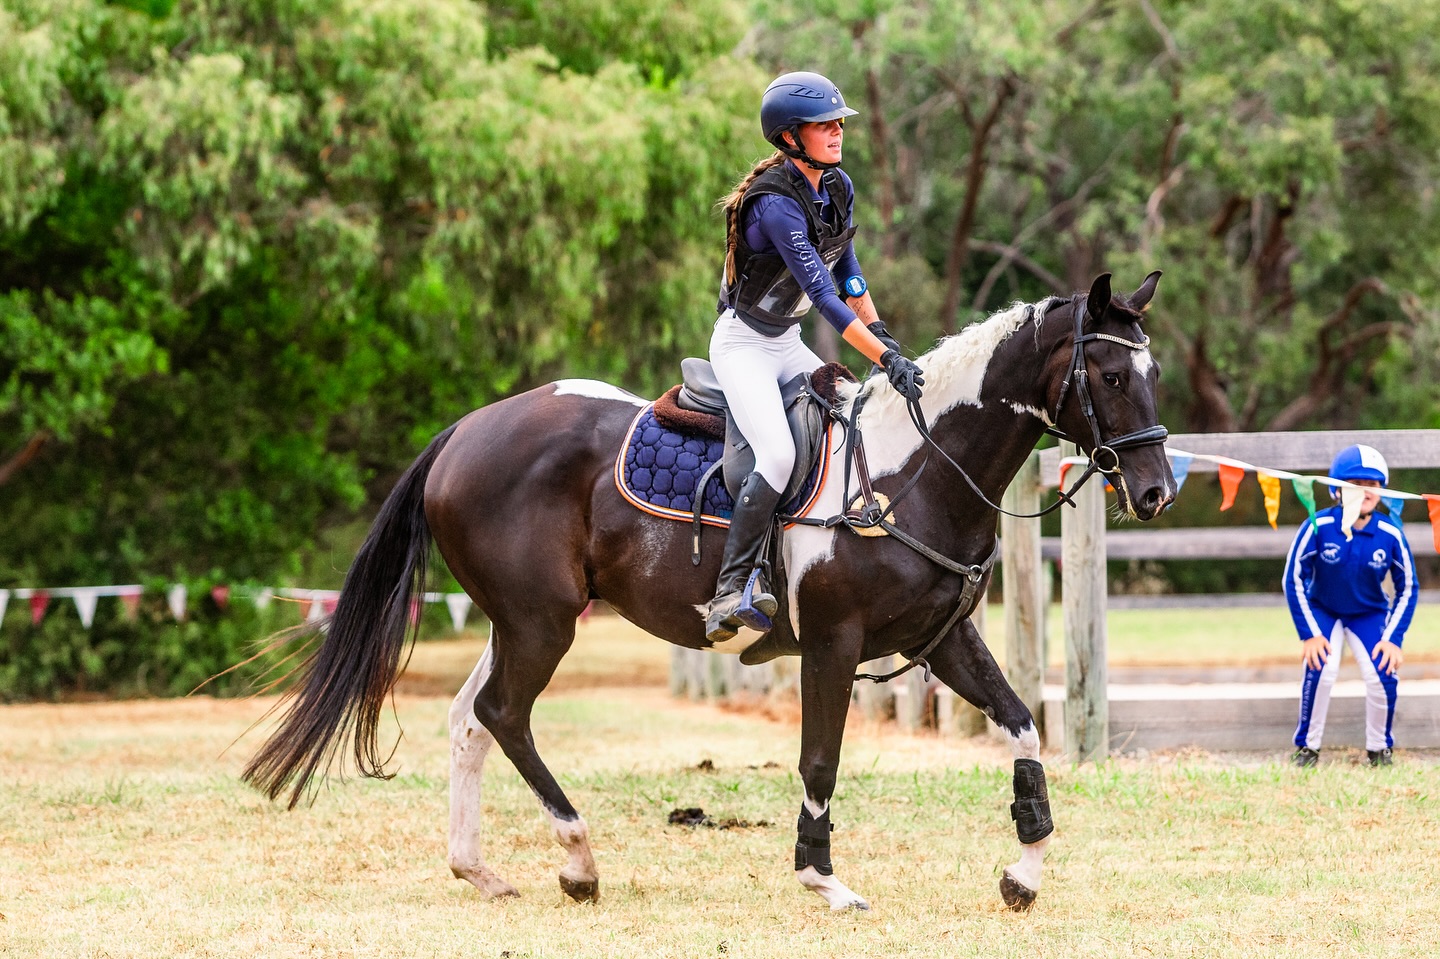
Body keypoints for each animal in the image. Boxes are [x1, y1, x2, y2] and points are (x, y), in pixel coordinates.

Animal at [243, 271, 1176, 913]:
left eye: (1153, 371)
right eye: (1110, 376)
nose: (1158, 490)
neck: (911, 468)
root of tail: (466, 430)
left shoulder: (940, 639)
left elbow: (1022, 726)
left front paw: (1024, 870)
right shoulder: (833, 643)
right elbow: (820, 758)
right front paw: (822, 879)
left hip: (513, 622)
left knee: (469, 718)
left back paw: (479, 868)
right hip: (542, 623)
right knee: (505, 714)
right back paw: (578, 858)